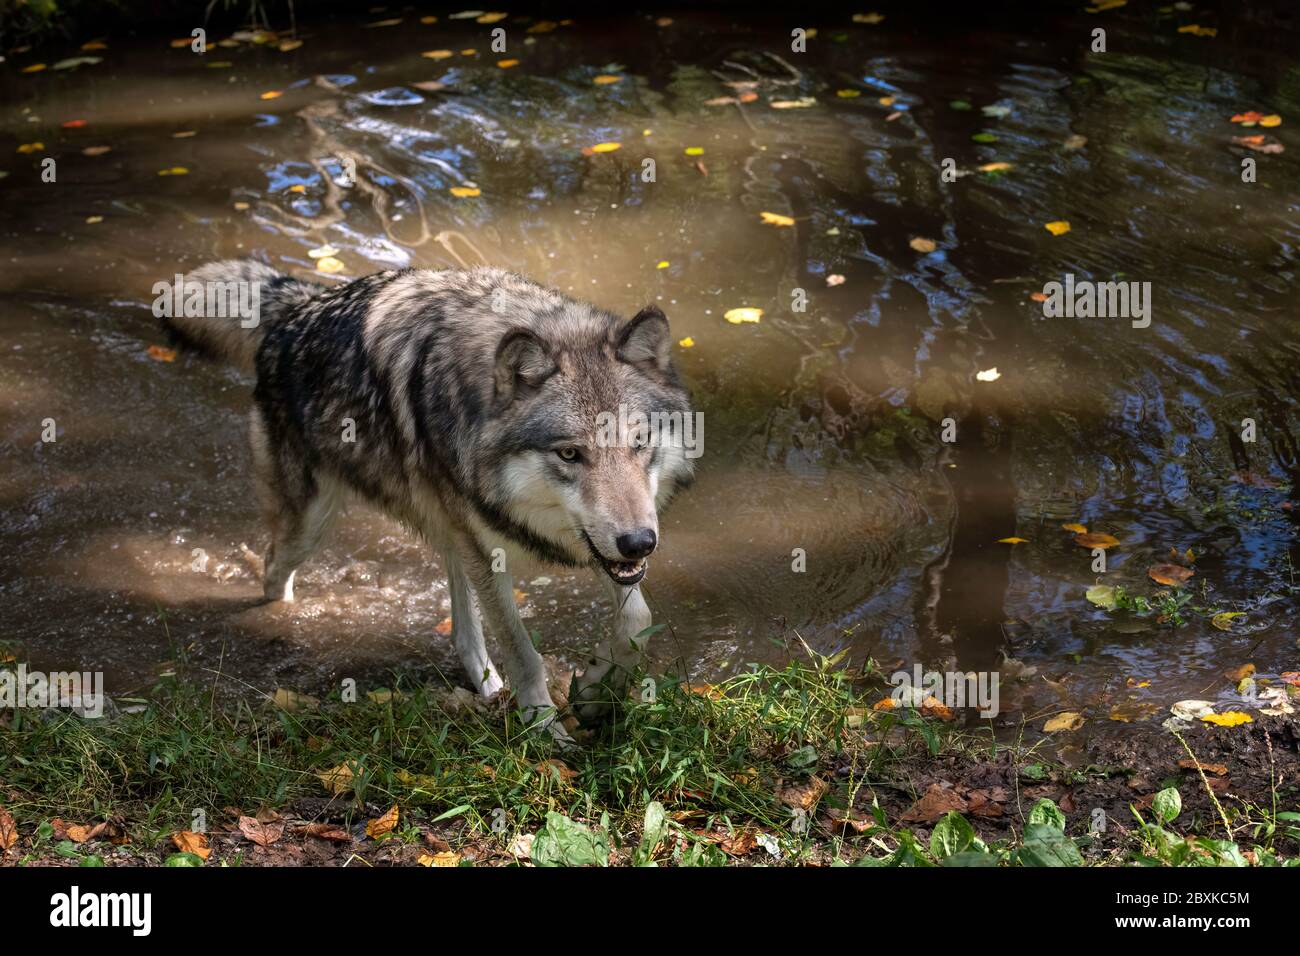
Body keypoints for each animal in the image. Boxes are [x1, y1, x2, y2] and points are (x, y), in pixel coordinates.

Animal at [168, 259, 695, 743]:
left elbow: (637, 621)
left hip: (452, 537)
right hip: (311, 529)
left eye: (640, 441)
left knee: (463, 635)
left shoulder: (593, 552)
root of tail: (298, 309)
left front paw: (595, 695)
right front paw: (544, 731)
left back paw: (491, 691)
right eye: (570, 453)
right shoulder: (493, 550)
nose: (639, 543)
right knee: (272, 571)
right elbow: (523, 652)